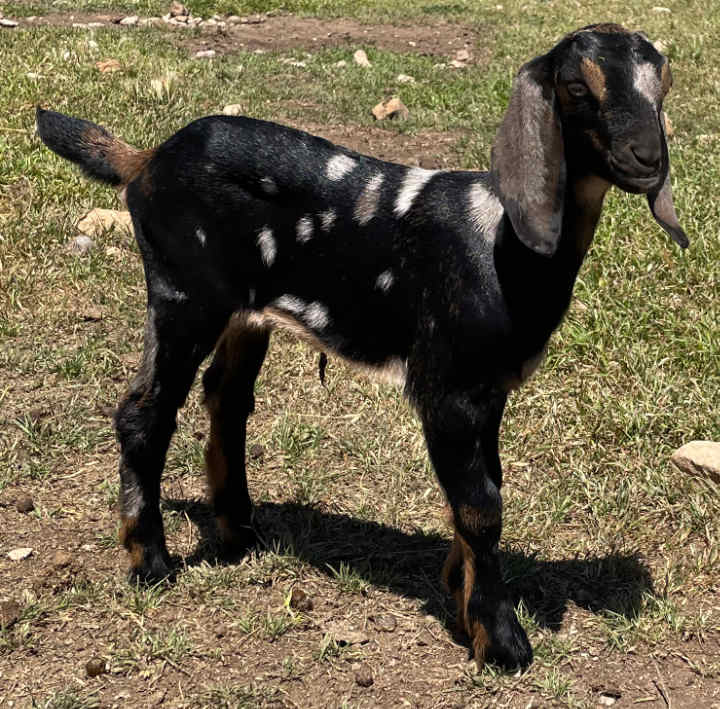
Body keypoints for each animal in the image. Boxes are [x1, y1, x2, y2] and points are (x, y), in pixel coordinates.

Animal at [37, 23, 687, 670]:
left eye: (663, 83)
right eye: (577, 87)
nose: (648, 158)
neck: (501, 246)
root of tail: (146, 161)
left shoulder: (491, 391)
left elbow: (483, 487)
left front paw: (460, 597)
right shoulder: (448, 388)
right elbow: (481, 506)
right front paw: (499, 639)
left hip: (245, 315)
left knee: (226, 399)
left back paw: (240, 532)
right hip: (183, 296)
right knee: (144, 412)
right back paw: (151, 562)